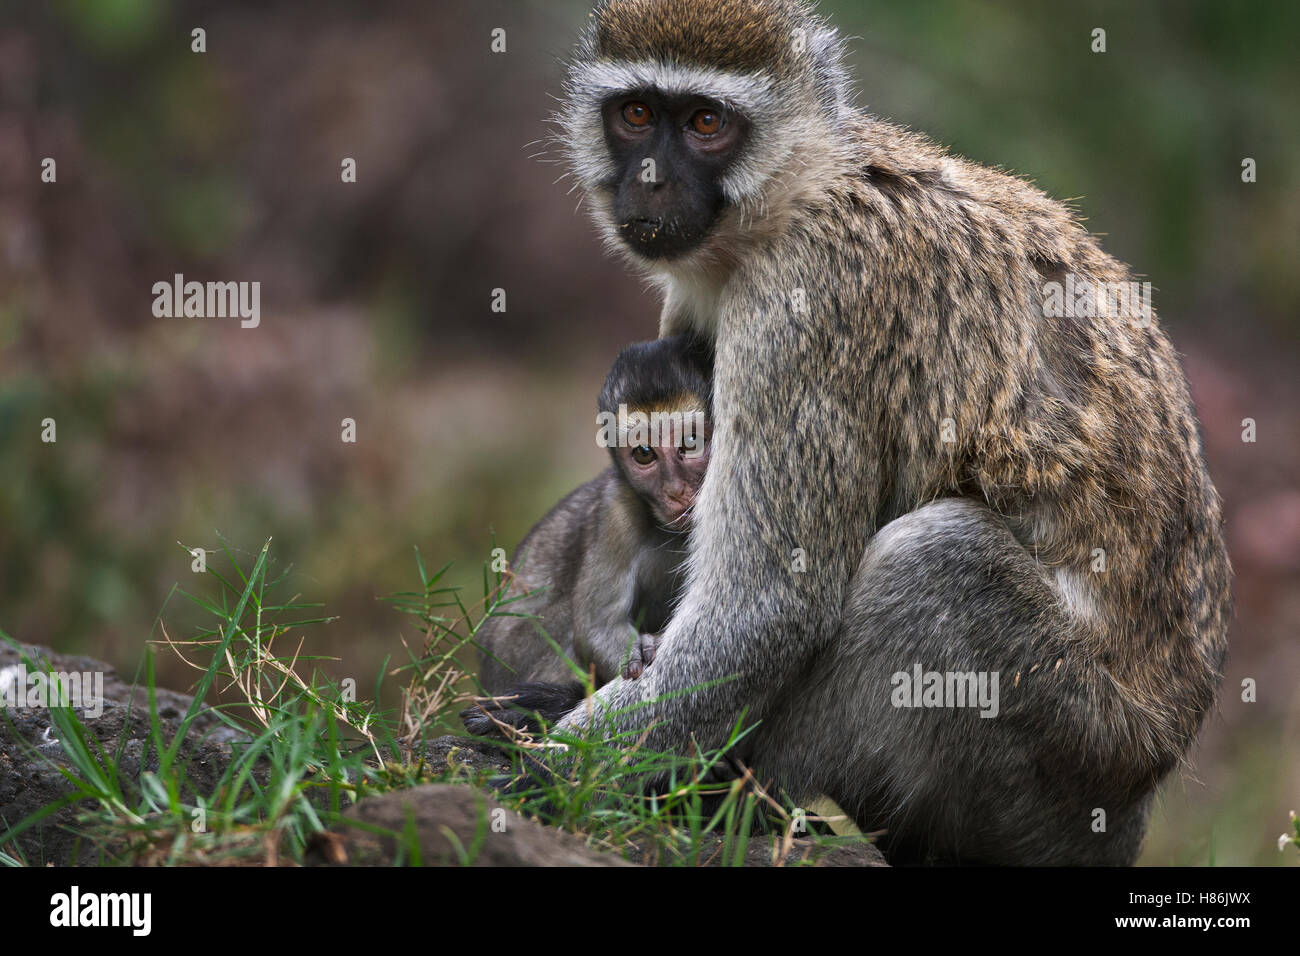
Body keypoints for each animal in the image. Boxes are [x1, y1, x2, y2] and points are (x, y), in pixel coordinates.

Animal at [466, 334, 714, 735]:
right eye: (644, 453)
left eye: (690, 443)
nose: (675, 491)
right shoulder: (616, 510)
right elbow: (596, 626)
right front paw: (637, 652)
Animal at [527, 0, 1232, 865]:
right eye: (634, 115)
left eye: (705, 123)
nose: (651, 179)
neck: (798, 193)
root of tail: (1143, 789)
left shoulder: (805, 305)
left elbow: (768, 607)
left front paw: (546, 773)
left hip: (1073, 755)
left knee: (932, 559)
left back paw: (726, 797)